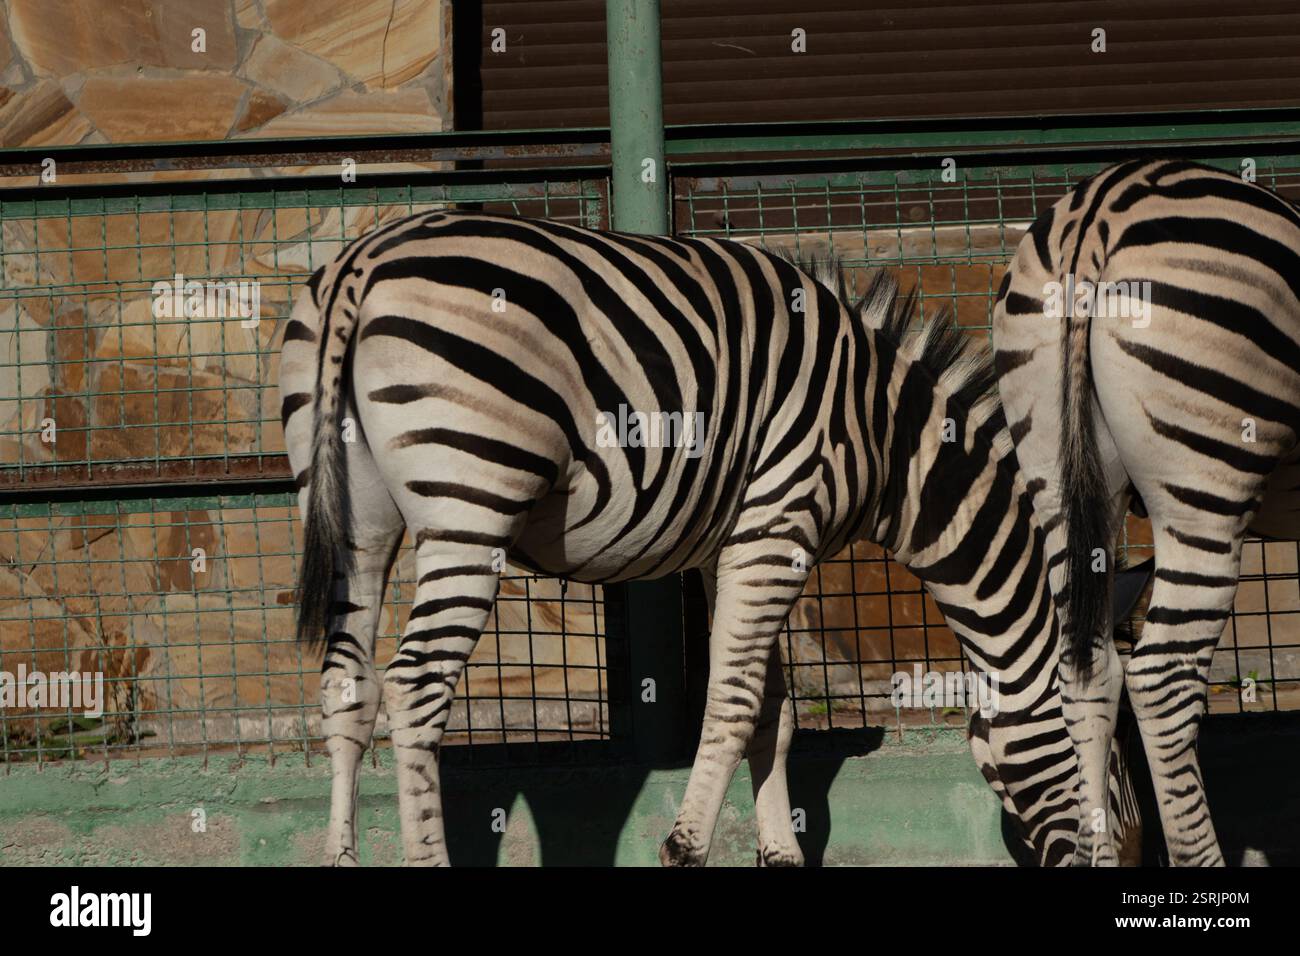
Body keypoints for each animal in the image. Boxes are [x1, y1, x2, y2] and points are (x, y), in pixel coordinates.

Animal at [278, 207, 1131, 866]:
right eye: (1103, 741)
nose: (1128, 854)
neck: (891, 443)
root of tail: (361, 260)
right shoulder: (780, 522)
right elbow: (735, 697)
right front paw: (686, 844)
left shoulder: (743, 540)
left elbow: (774, 712)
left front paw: (779, 853)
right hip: (471, 503)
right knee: (414, 686)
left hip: (357, 513)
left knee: (346, 685)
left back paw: (340, 856)